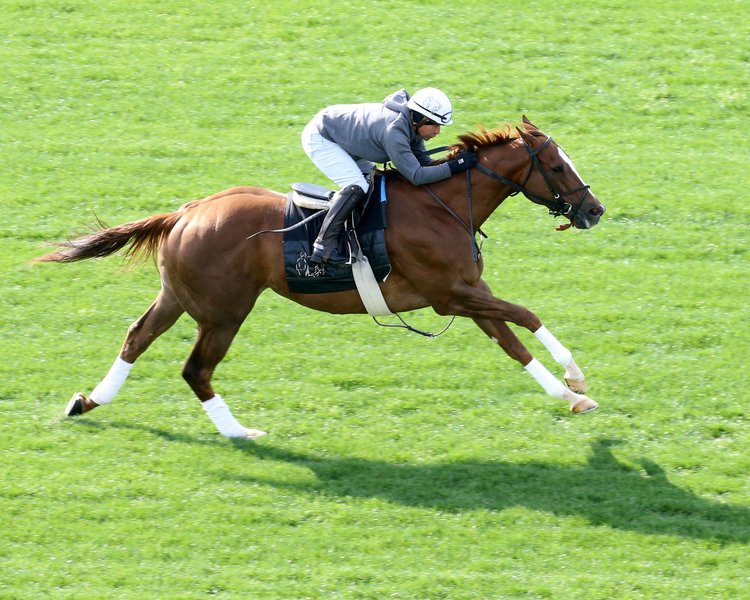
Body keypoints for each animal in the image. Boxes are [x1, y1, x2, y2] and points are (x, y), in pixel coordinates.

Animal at [36, 116, 605, 439]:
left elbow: (512, 343)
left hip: (178, 296)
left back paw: (89, 401)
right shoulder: (450, 295)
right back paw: (240, 433)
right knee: (195, 370)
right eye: (557, 166)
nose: (594, 210)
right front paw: (576, 377)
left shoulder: (468, 294)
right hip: (224, 312)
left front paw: (570, 396)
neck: (443, 204)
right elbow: (526, 316)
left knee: (137, 337)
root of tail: (187, 211)